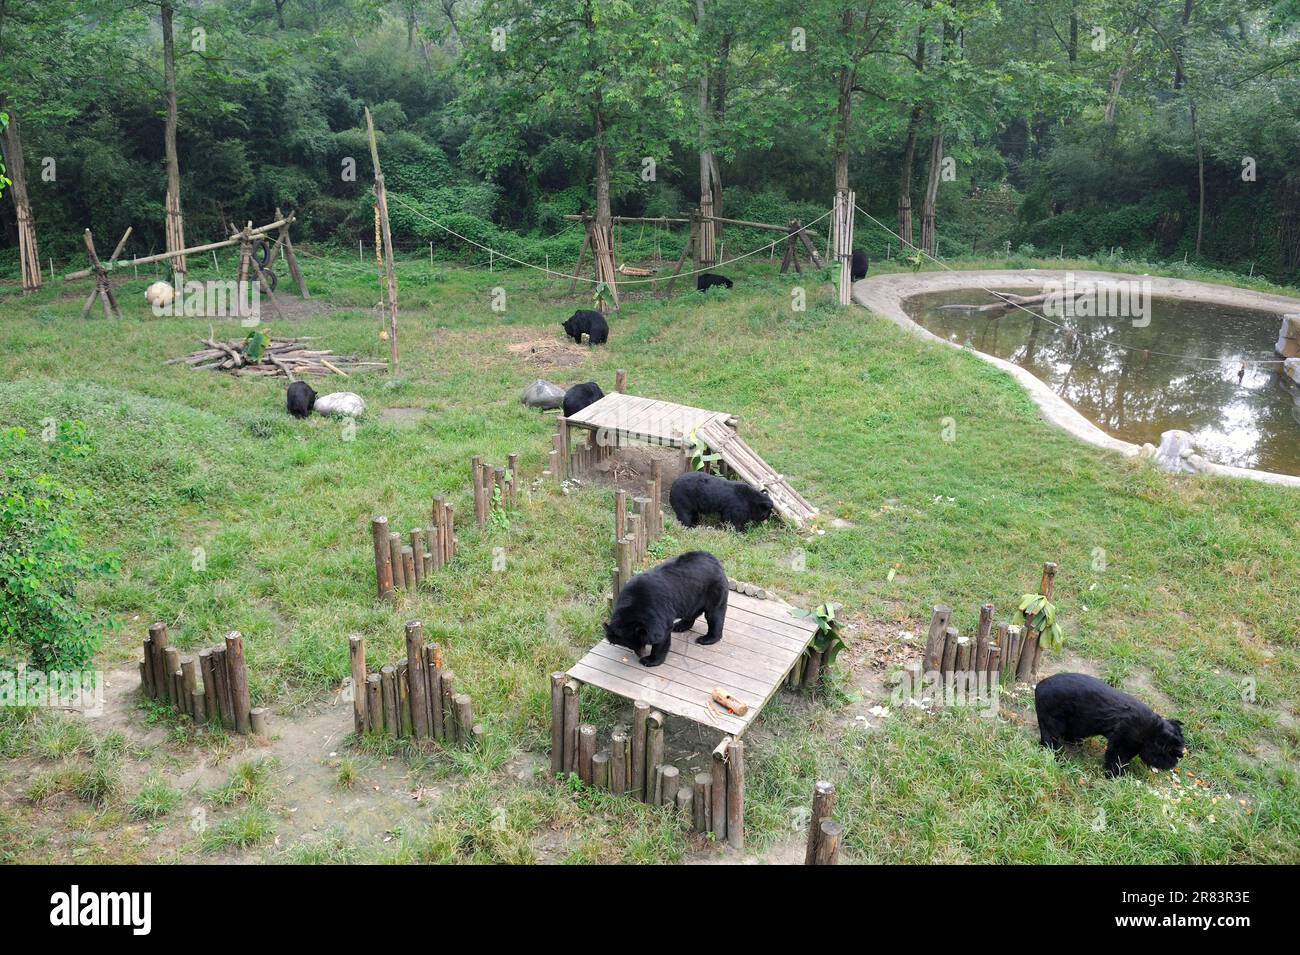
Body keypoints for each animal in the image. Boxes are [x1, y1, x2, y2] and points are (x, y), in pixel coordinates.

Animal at [1035, 672, 1186, 778]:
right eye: (1172, 753)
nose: (1175, 763)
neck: (1152, 730)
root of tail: (1038, 687)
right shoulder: (1123, 740)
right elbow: (1116, 758)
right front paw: (1116, 776)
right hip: (1052, 720)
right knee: (1049, 739)